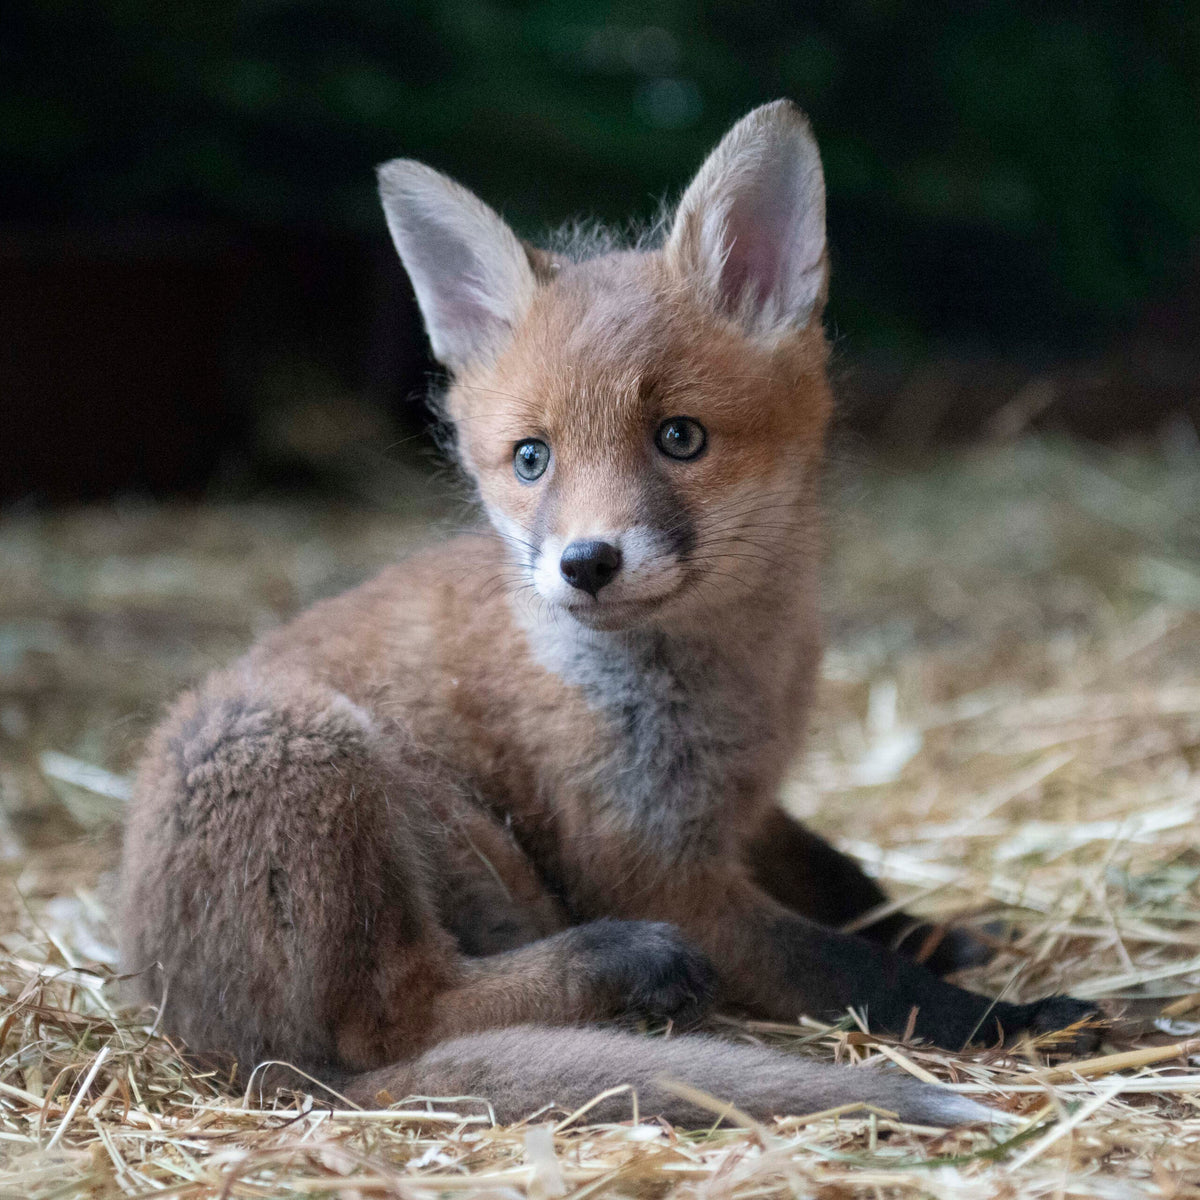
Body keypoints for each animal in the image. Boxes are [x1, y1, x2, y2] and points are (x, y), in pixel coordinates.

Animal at [119, 100, 1101, 1128]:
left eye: (681, 437)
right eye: (532, 458)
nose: (585, 564)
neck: (723, 679)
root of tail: (215, 1050)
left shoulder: (742, 810)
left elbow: (852, 884)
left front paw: (949, 934)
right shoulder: (650, 868)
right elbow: (850, 965)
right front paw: (1014, 1019)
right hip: (300, 748)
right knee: (395, 1015)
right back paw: (622, 965)